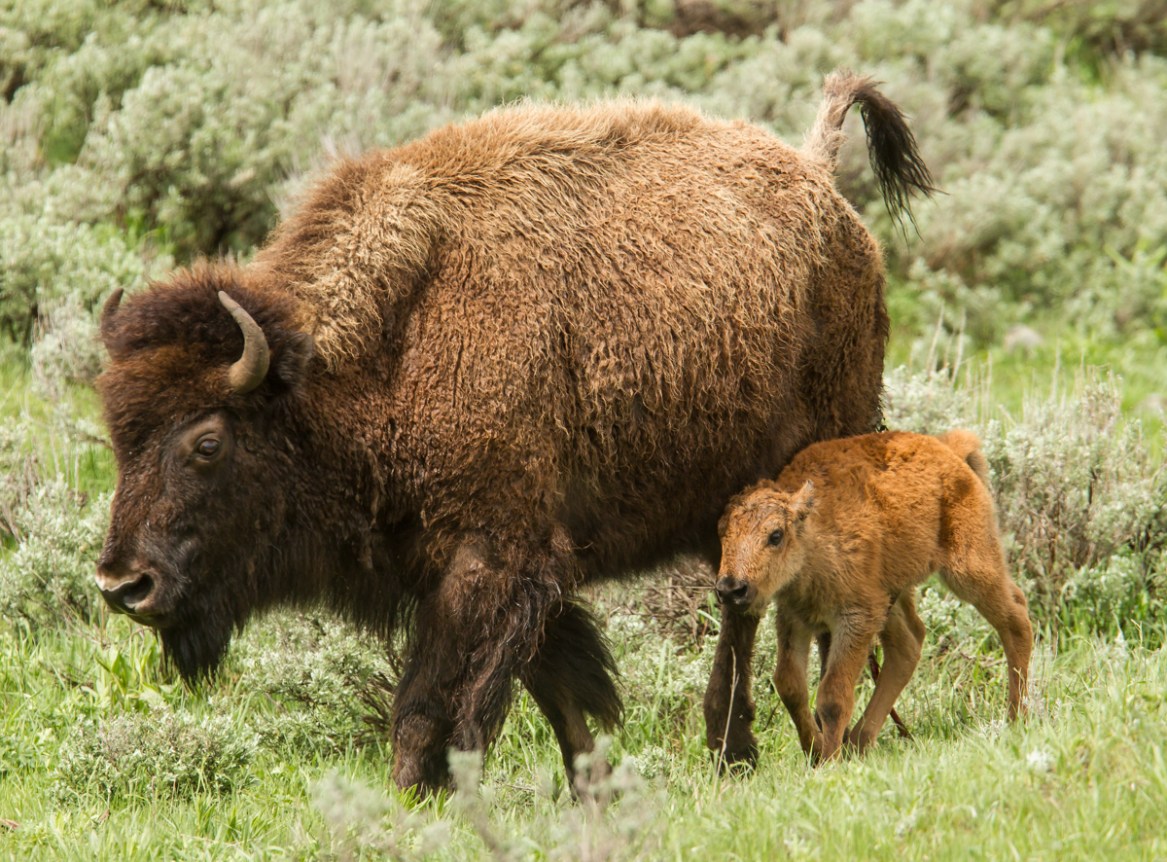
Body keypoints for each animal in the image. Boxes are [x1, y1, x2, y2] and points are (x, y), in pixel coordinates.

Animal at [95, 70, 932, 793]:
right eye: (117, 434)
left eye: (207, 442)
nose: (122, 584)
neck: (384, 350)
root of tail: (819, 180)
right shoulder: (499, 569)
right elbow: (555, 689)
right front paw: (588, 786)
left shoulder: (489, 561)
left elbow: (434, 704)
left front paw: (418, 796)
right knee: (742, 605)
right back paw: (744, 749)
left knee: (770, 609)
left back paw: (771, 741)